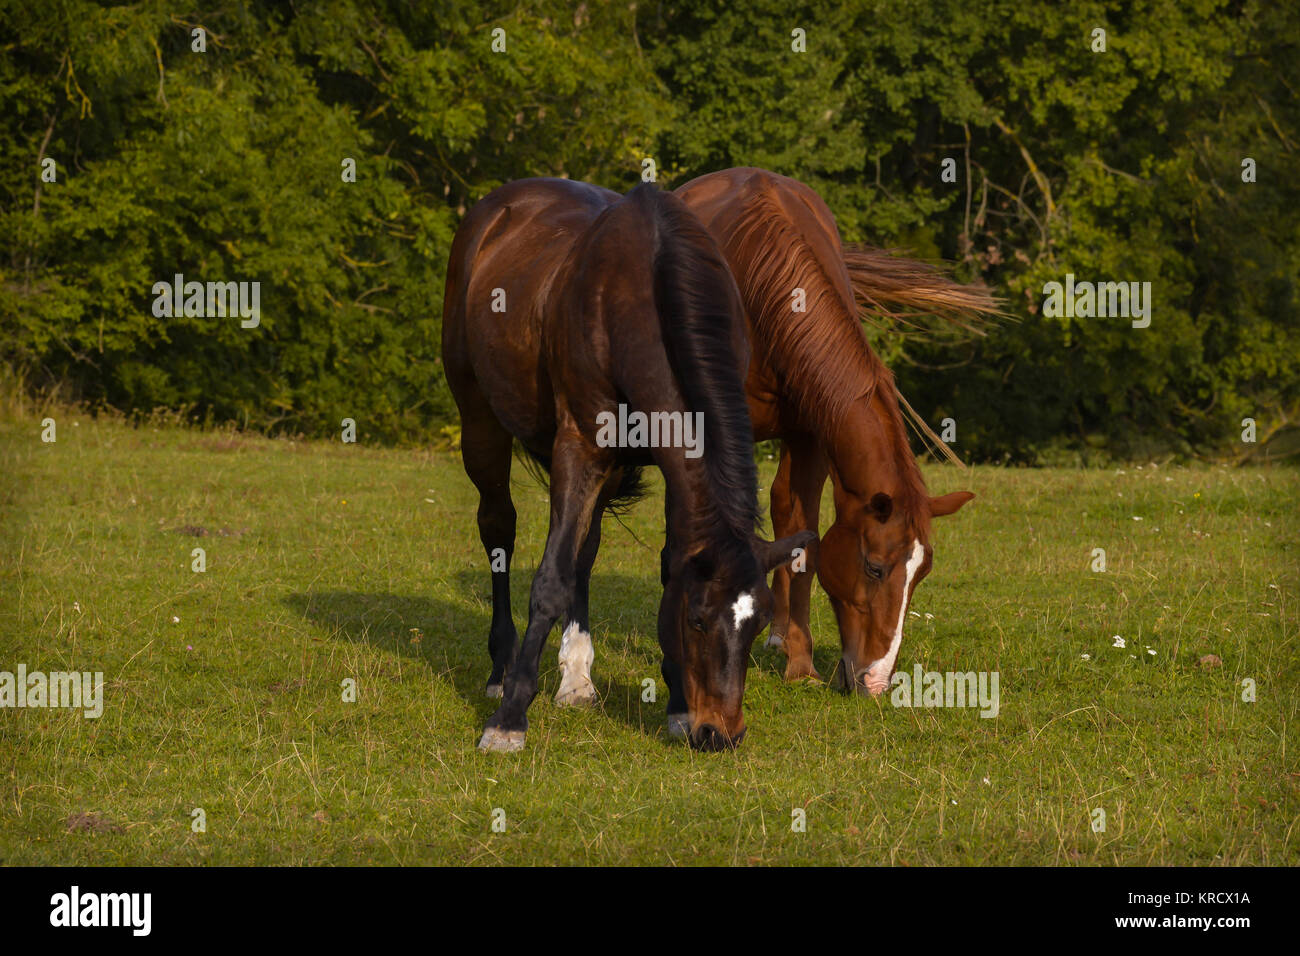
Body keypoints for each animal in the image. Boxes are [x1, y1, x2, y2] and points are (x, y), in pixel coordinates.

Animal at [441, 178, 814, 751]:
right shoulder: (578, 445)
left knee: (585, 549)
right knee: (498, 526)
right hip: (481, 420)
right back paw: (501, 670)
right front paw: (509, 718)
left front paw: (677, 705)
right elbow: (549, 581)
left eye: (757, 626)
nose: (720, 734)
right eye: (698, 620)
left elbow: (660, 561)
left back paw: (576, 677)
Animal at [669, 167, 997, 695]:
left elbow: (803, 542)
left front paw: (800, 664)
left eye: (921, 575)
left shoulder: (812, 438)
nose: (876, 681)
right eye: (874, 567)